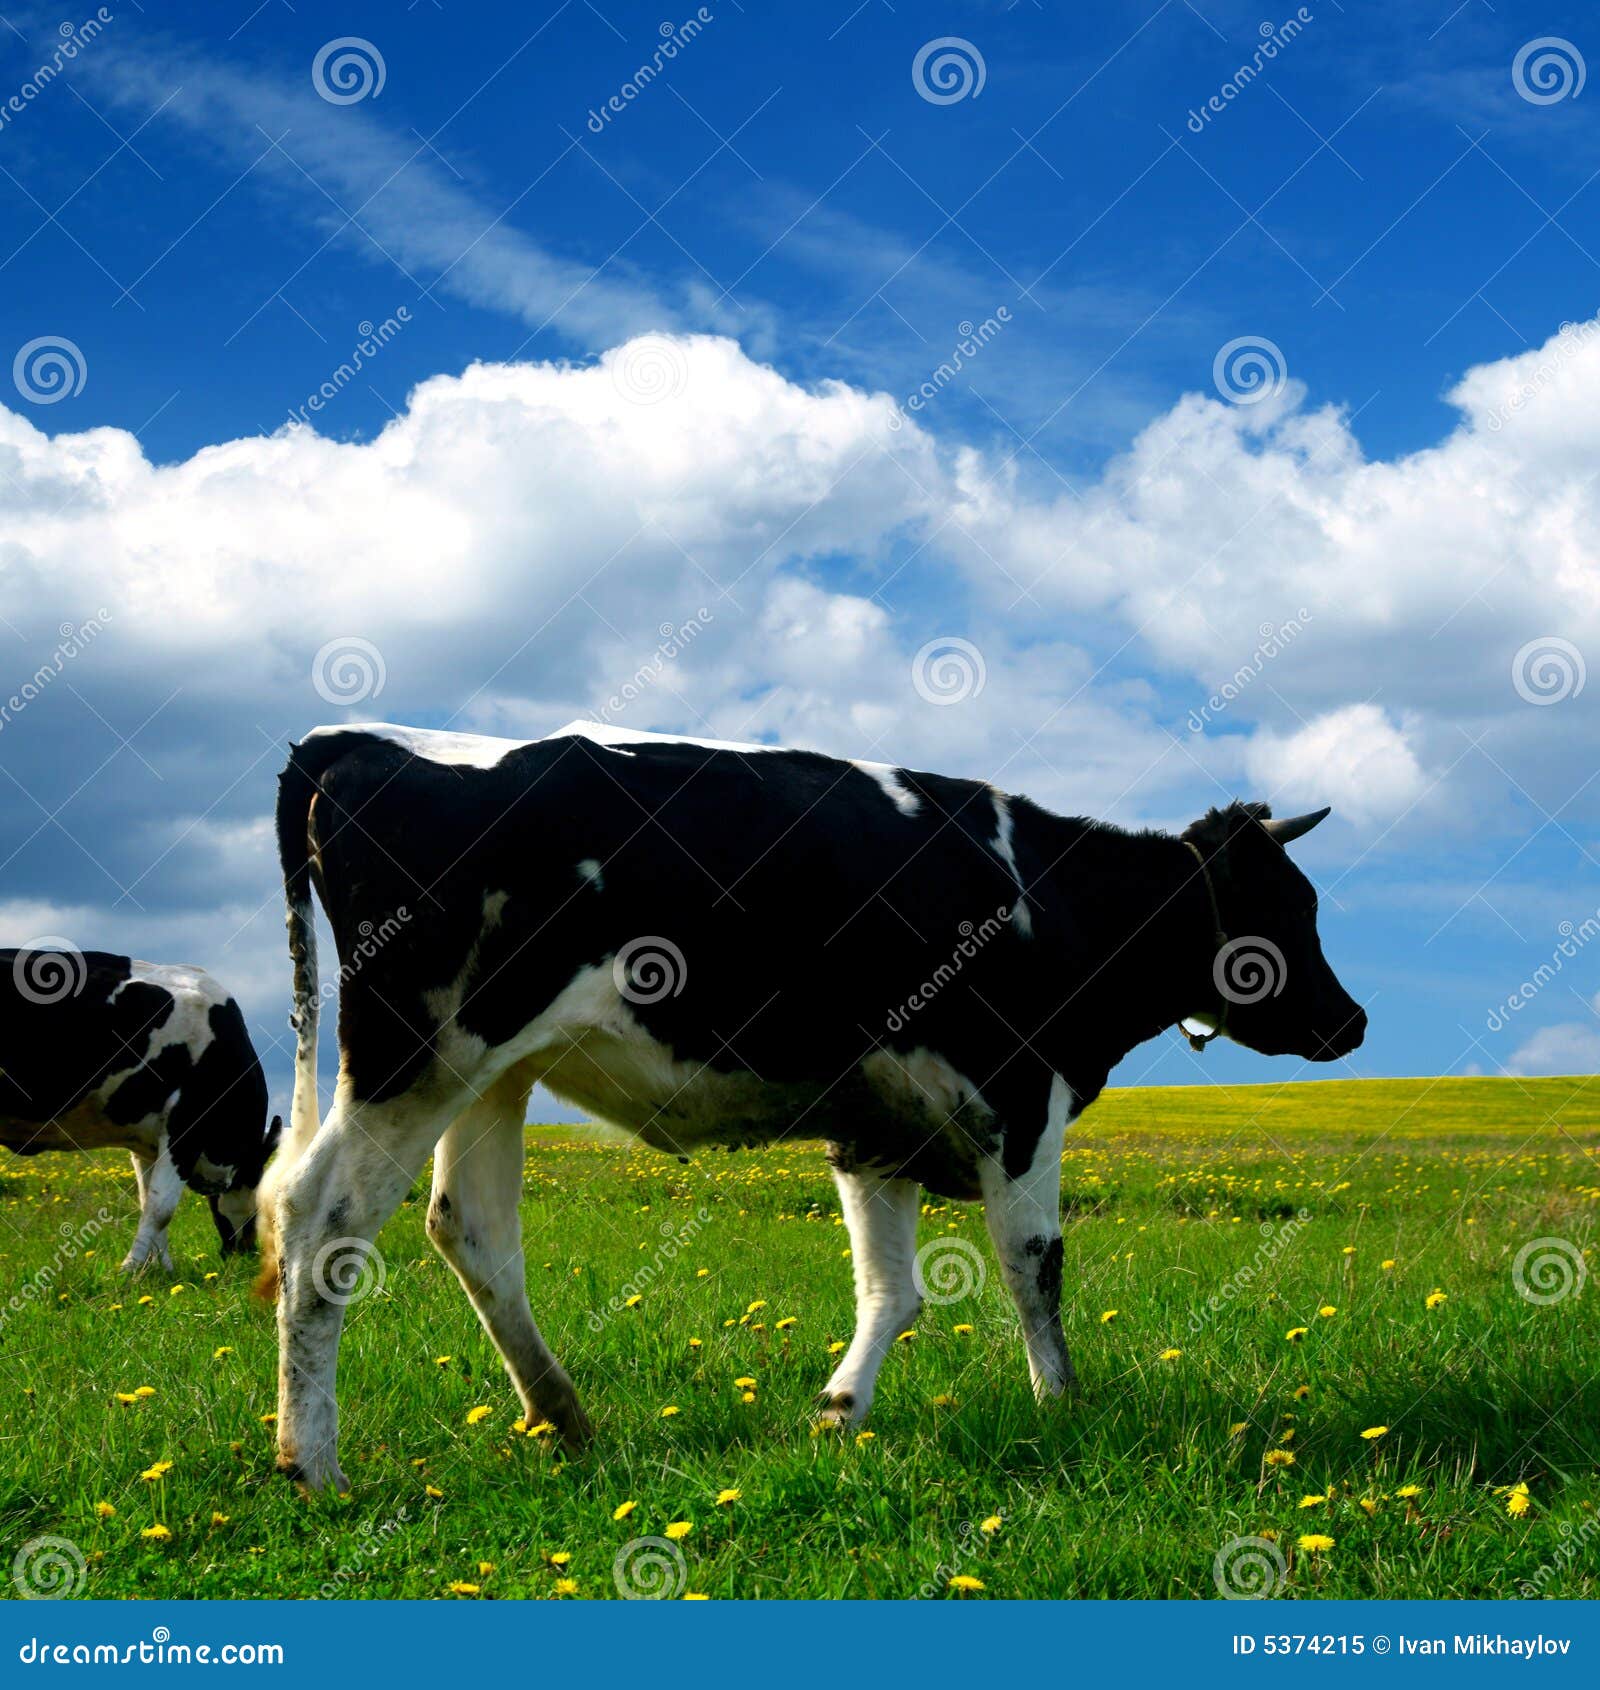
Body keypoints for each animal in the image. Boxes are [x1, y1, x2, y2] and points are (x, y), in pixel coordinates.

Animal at [0, 949, 281, 1272]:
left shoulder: (147, 1141)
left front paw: (160, 1269)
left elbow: (148, 1200)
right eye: (258, 1185)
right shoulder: (185, 1126)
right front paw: (129, 1269)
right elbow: (161, 1209)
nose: (245, 1252)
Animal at [259, 719, 1365, 1492]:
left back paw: (563, 1415)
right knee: (321, 1219)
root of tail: (343, 744)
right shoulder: (1021, 1096)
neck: (1057, 901)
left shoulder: (876, 1128)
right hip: (416, 1056)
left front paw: (840, 1411)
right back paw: (314, 1463)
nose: (1351, 1021)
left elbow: (893, 1290)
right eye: (1292, 908)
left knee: (470, 1229)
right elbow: (1032, 1265)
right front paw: (1062, 1406)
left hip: (491, 1073)